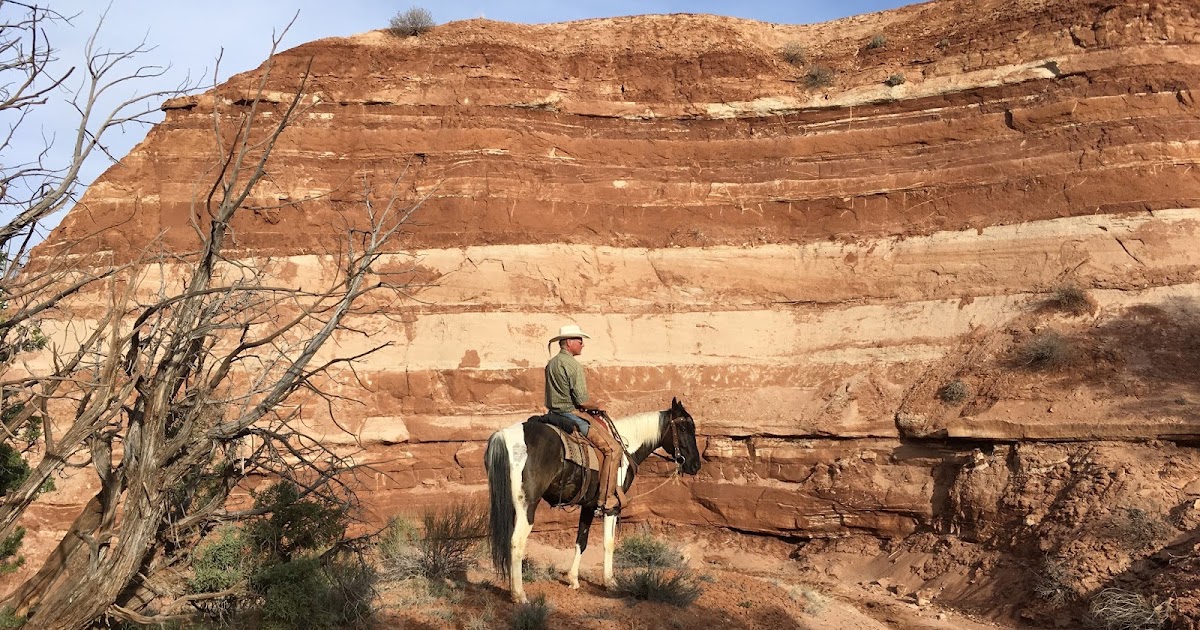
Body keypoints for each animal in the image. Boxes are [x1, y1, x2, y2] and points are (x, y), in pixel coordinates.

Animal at [484, 397, 702, 603]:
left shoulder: (588, 506)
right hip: (527, 506)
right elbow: (609, 543)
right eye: (684, 428)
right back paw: (519, 594)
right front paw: (610, 582)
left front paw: (573, 579)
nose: (695, 465)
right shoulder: (612, 508)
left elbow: (581, 541)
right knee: (516, 543)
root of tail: (503, 436)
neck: (627, 447)